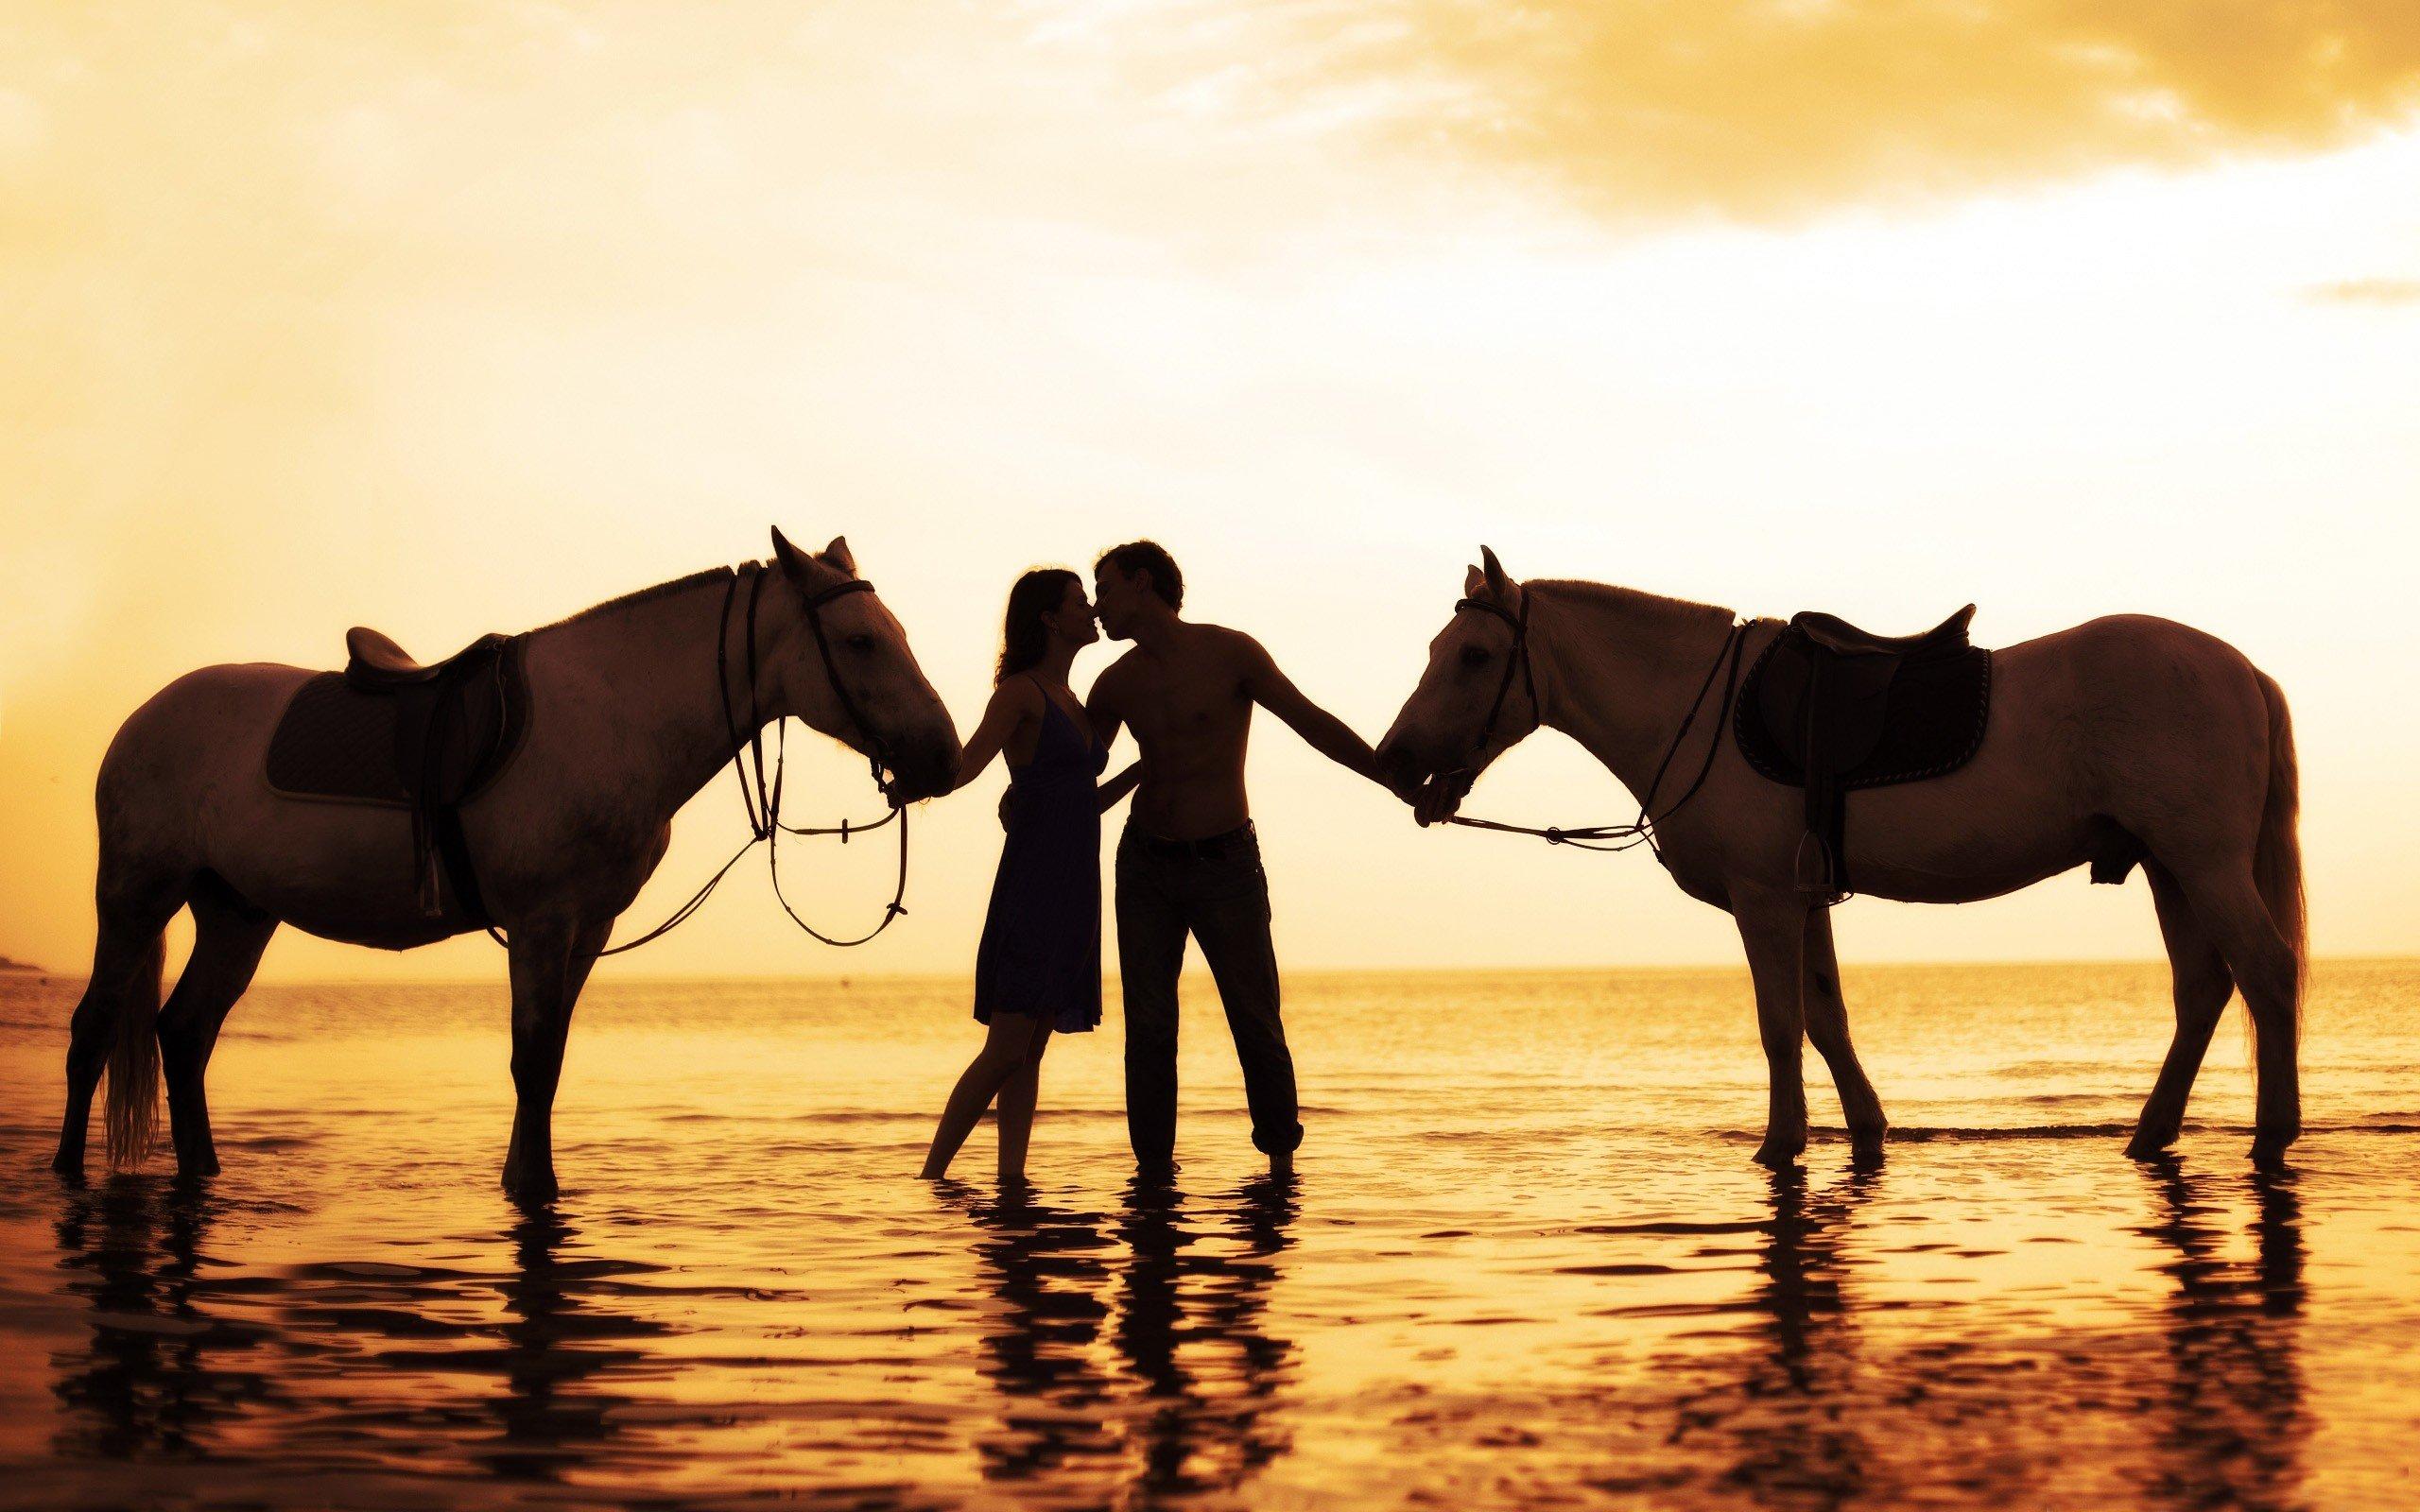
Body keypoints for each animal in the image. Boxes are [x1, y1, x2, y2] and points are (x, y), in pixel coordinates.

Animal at [53, 529, 962, 1201]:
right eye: (859, 641)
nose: (944, 758)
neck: (617, 718)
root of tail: (144, 717)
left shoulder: (586, 929)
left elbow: (550, 1060)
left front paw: (532, 1180)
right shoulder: (540, 922)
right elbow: (530, 1059)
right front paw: (529, 1186)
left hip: (238, 913)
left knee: (185, 1033)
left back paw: (205, 1171)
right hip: (135, 896)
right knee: (94, 1029)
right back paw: (67, 1171)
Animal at [1375, 548, 2304, 1169]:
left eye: (1474, 656)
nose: (1394, 758)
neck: (1695, 707)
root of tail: (2243, 670)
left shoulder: (1763, 901)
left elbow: (1780, 1023)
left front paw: (1780, 1143)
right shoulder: (1806, 897)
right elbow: (1827, 1017)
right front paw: (1866, 1128)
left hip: (2204, 862)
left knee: (2265, 970)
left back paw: (2272, 1132)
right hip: (2170, 867)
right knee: (2203, 991)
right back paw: (2151, 1132)